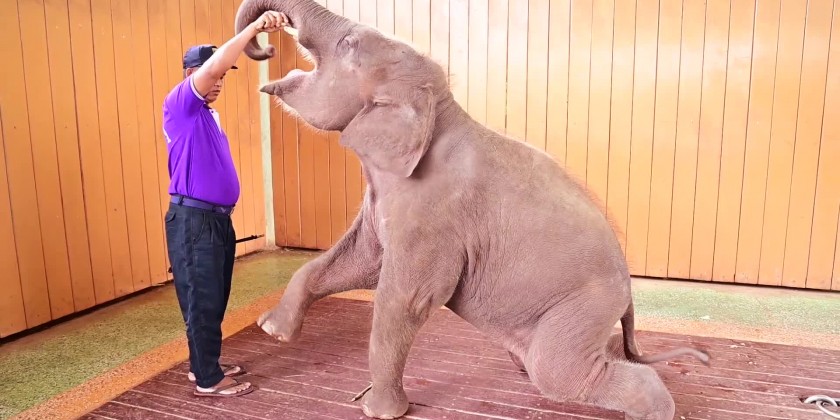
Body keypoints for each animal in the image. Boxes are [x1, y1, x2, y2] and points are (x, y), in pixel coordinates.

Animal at [233, 1, 711, 419]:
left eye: (349, 43)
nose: (266, 39)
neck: (437, 108)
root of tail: (628, 292)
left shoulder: (434, 215)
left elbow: (404, 299)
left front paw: (378, 410)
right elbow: (355, 261)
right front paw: (272, 330)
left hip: (585, 304)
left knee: (558, 372)